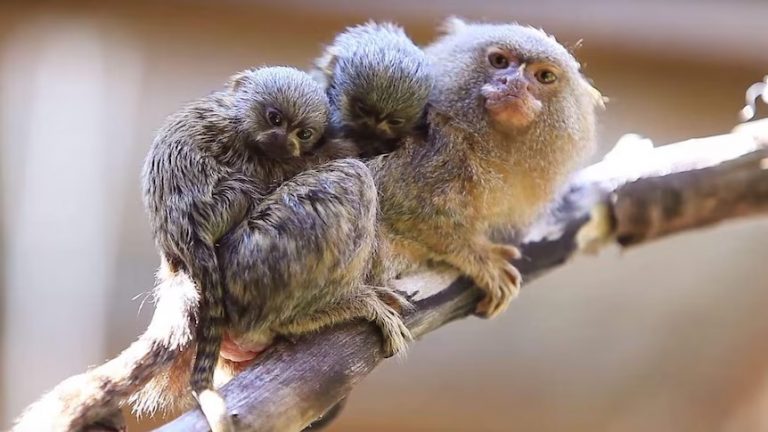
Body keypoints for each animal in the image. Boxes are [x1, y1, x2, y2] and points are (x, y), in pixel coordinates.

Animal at [11, 65, 411, 432]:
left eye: (303, 132)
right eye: (274, 118)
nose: (283, 141)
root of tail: (179, 246)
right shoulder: (249, 153)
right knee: (348, 177)